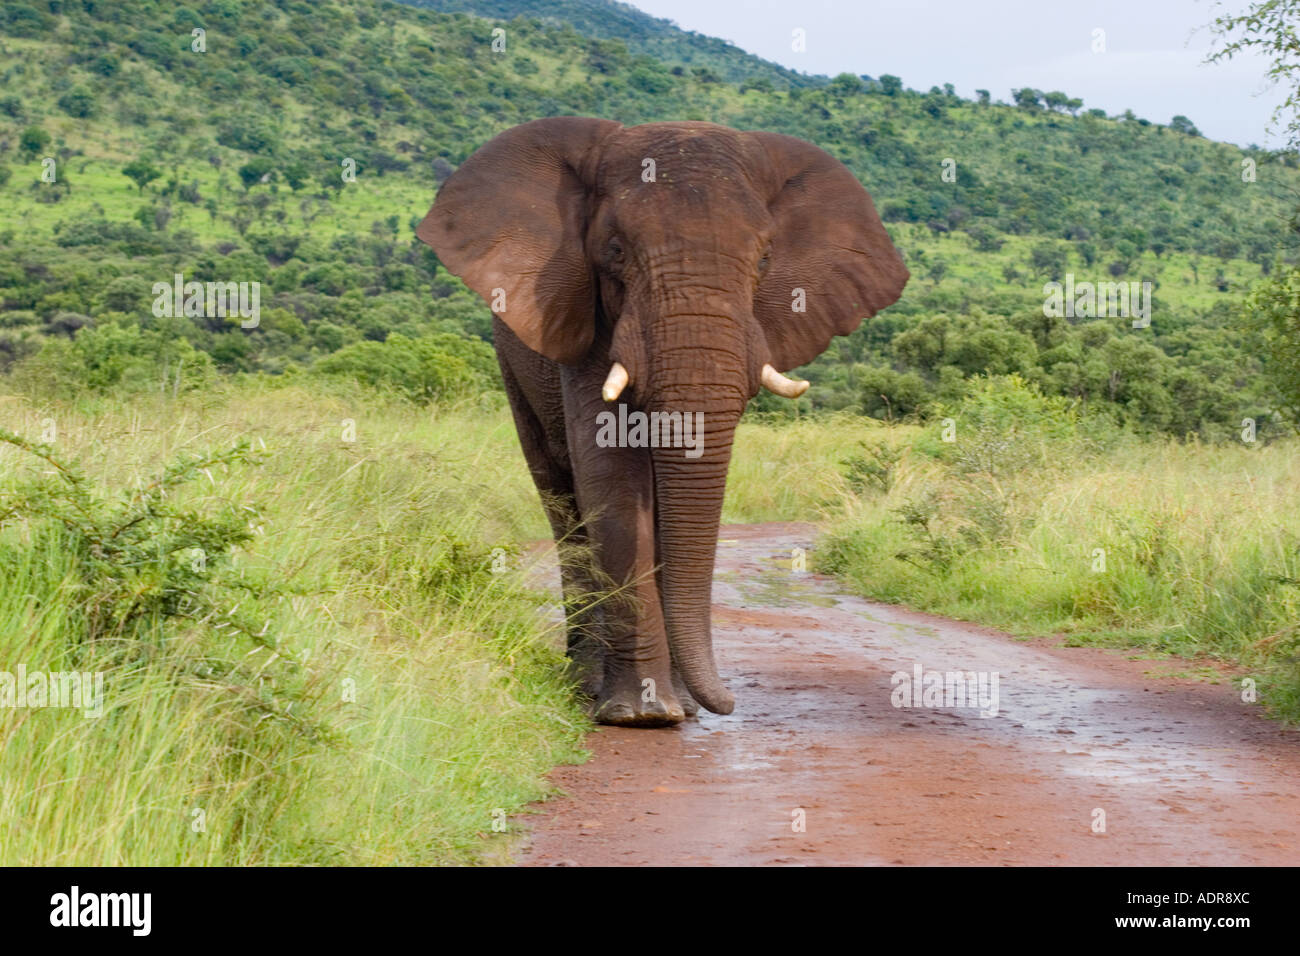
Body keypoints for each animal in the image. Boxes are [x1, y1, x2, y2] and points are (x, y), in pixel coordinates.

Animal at [416, 117, 907, 727]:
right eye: (615, 251)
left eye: (764, 260)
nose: (728, 703)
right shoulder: (583, 319)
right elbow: (610, 476)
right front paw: (641, 715)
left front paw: (671, 708)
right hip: (512, 363)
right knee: (559, 496)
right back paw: (586, 682)